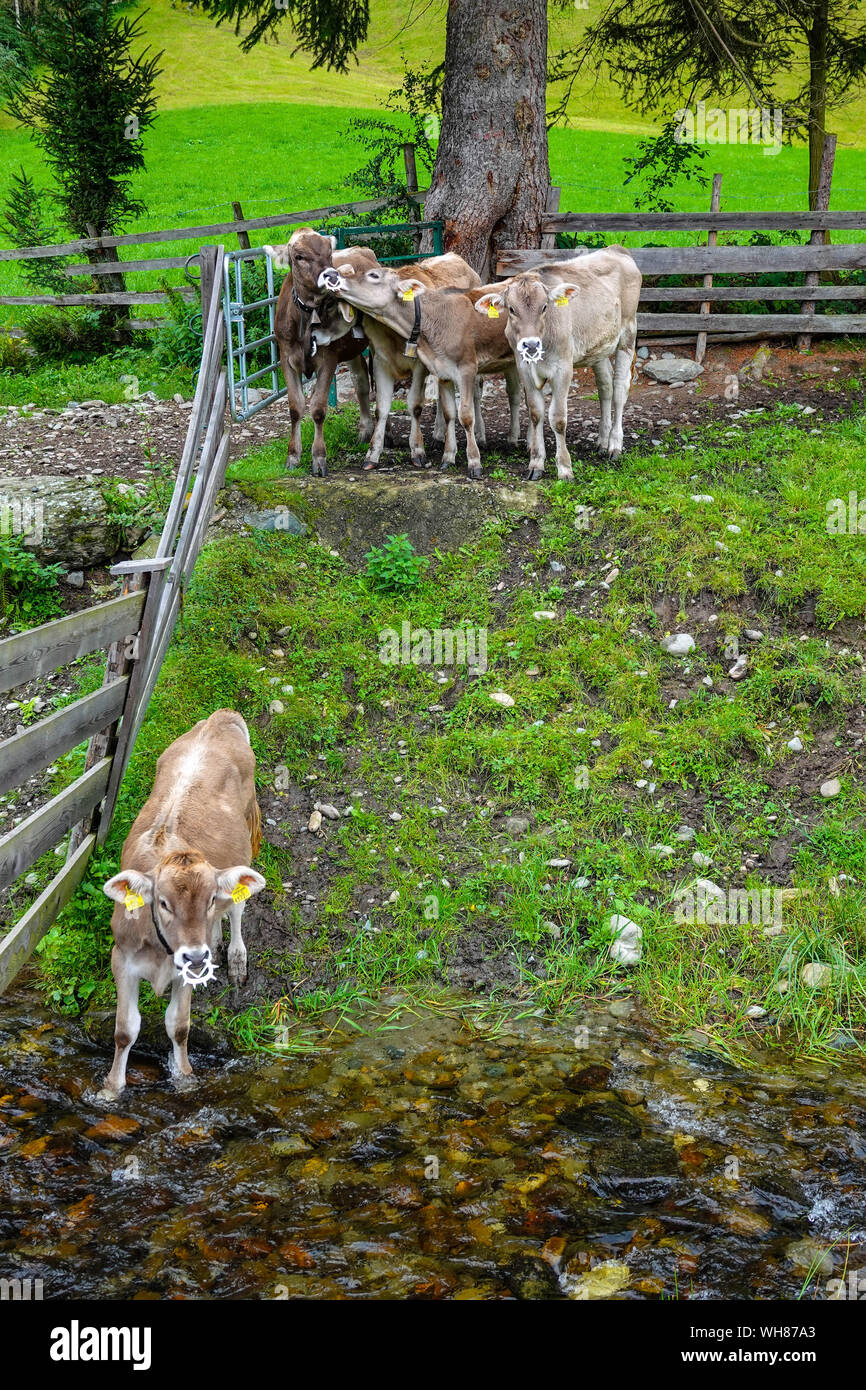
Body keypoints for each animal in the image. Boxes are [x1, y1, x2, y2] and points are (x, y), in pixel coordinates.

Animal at [99, 709, 265, 1100]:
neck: (160, 949)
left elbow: (178, 1024)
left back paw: (235, 958)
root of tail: (219, 718)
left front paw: (184, 1076)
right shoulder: (122, 959)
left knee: (237, 910)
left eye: (209, 898)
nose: (197, 955)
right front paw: (112, 1087)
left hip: (245, 845)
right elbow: (125, 1029)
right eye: (162, 902)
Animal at [264, 230, 380, 476]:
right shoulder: (286, 359)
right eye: (299, 256)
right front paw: (293, 455)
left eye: (329, 252)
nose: (332, 275)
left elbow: (317, 409)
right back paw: (364, 431)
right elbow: (295, 407)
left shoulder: (328, 360)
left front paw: (318, 457)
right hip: (352, 349)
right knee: (361, 382)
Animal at [319, 263, 523, 480]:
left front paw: (474, 462)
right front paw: (448, 457)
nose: (332, 275)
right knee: (513, 394)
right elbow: (449, 413)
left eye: (373, 275)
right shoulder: (440, 371)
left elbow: (464, 415)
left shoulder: (466, 368)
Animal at [472, 246, 642, 481]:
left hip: (627, 334)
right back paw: (602, 440)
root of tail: (616, 249)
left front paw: (564, 468)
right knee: (605, 386)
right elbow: (536, 413)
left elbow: (558, 419)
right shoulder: (524, 369)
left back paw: (614, 445)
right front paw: (536, 463)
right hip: (598, 348)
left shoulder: (563, 369)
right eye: (512, 309)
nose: (530, 344)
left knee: (619, 390)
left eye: (545, 307)